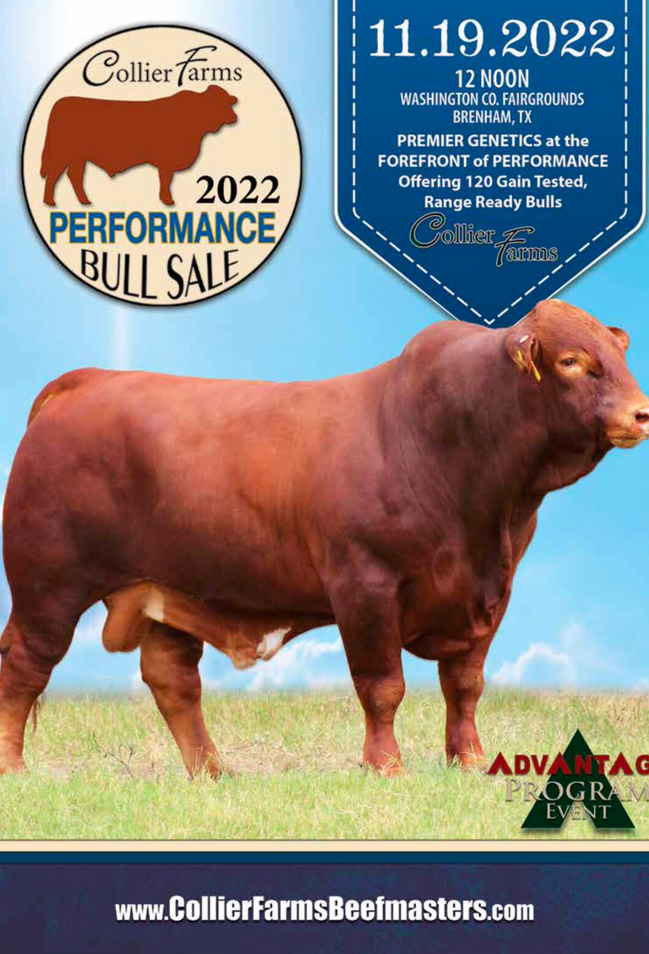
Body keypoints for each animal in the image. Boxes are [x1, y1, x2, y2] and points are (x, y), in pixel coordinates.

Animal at [0, 300, 647, 779]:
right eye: (571, 360)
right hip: (48, 588)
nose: (641, 413)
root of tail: (85, 381)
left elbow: (465, 684)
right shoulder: (364, 584)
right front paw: (385, 767)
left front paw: (468, 761)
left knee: (173, 680)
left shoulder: (491, 593)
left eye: (619, 353)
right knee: (25, 664)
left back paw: (213, 773)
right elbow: (382, 686)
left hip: (167, 588)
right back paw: (14, 769)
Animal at [40, 85, 238, 207]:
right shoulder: (166, 161)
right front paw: (167, 200)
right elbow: (166, 180)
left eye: (228, 102)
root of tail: (61, 102)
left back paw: (84, 201)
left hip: (77, 157)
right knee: (54, 175)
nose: (234, 117)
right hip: (61, 153)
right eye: (218, 103)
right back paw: (50, 202)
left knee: (74, 176)